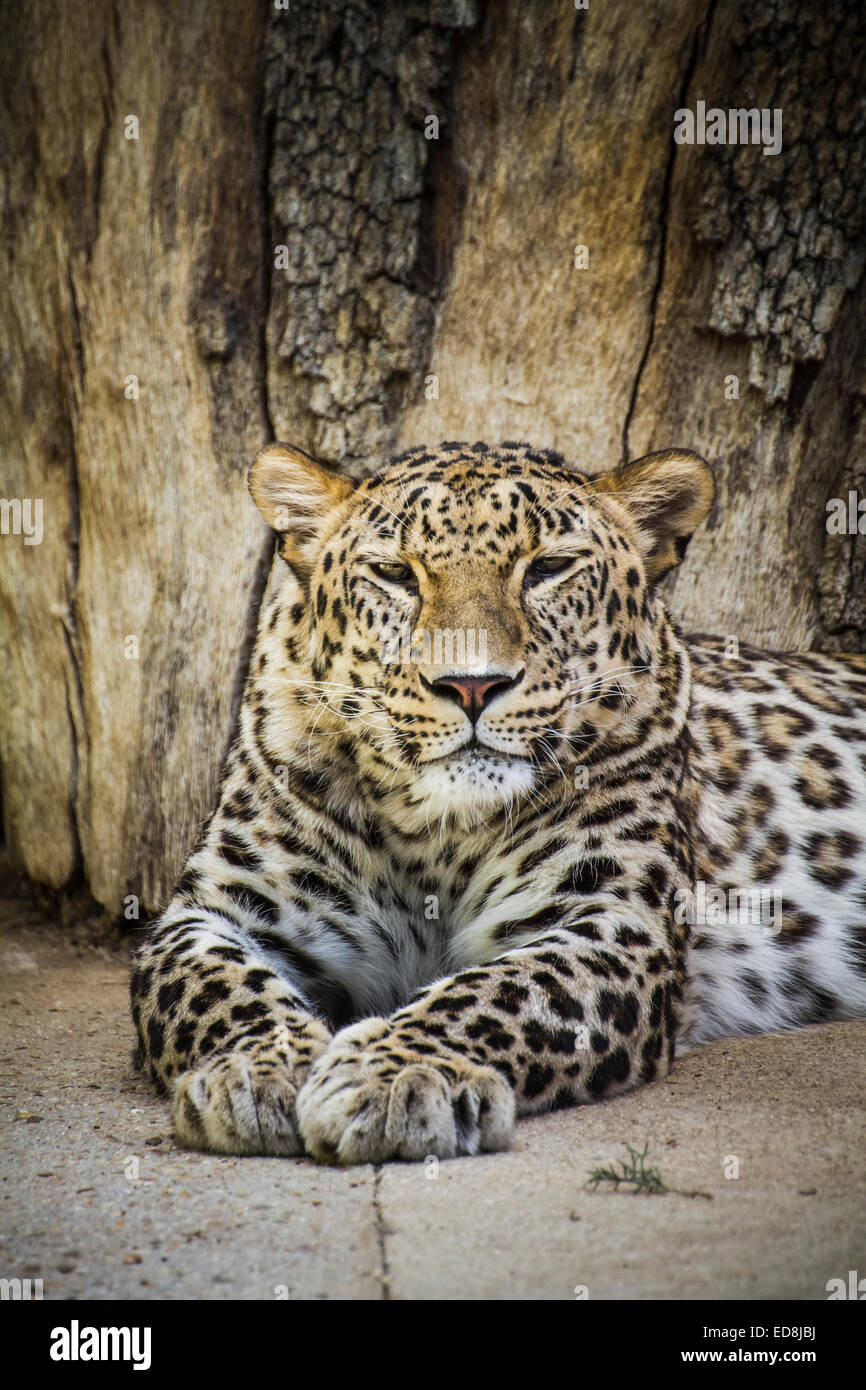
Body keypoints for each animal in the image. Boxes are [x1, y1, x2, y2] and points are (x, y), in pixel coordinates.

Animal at [130, 439, 866, 1164]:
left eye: (548, 569)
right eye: (395, 574)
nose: (472, 685)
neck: (432, 831)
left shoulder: (610, 921)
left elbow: (494, 992)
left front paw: (395, 1075)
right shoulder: (217, 911)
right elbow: (214, 988)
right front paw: (257, 1070)